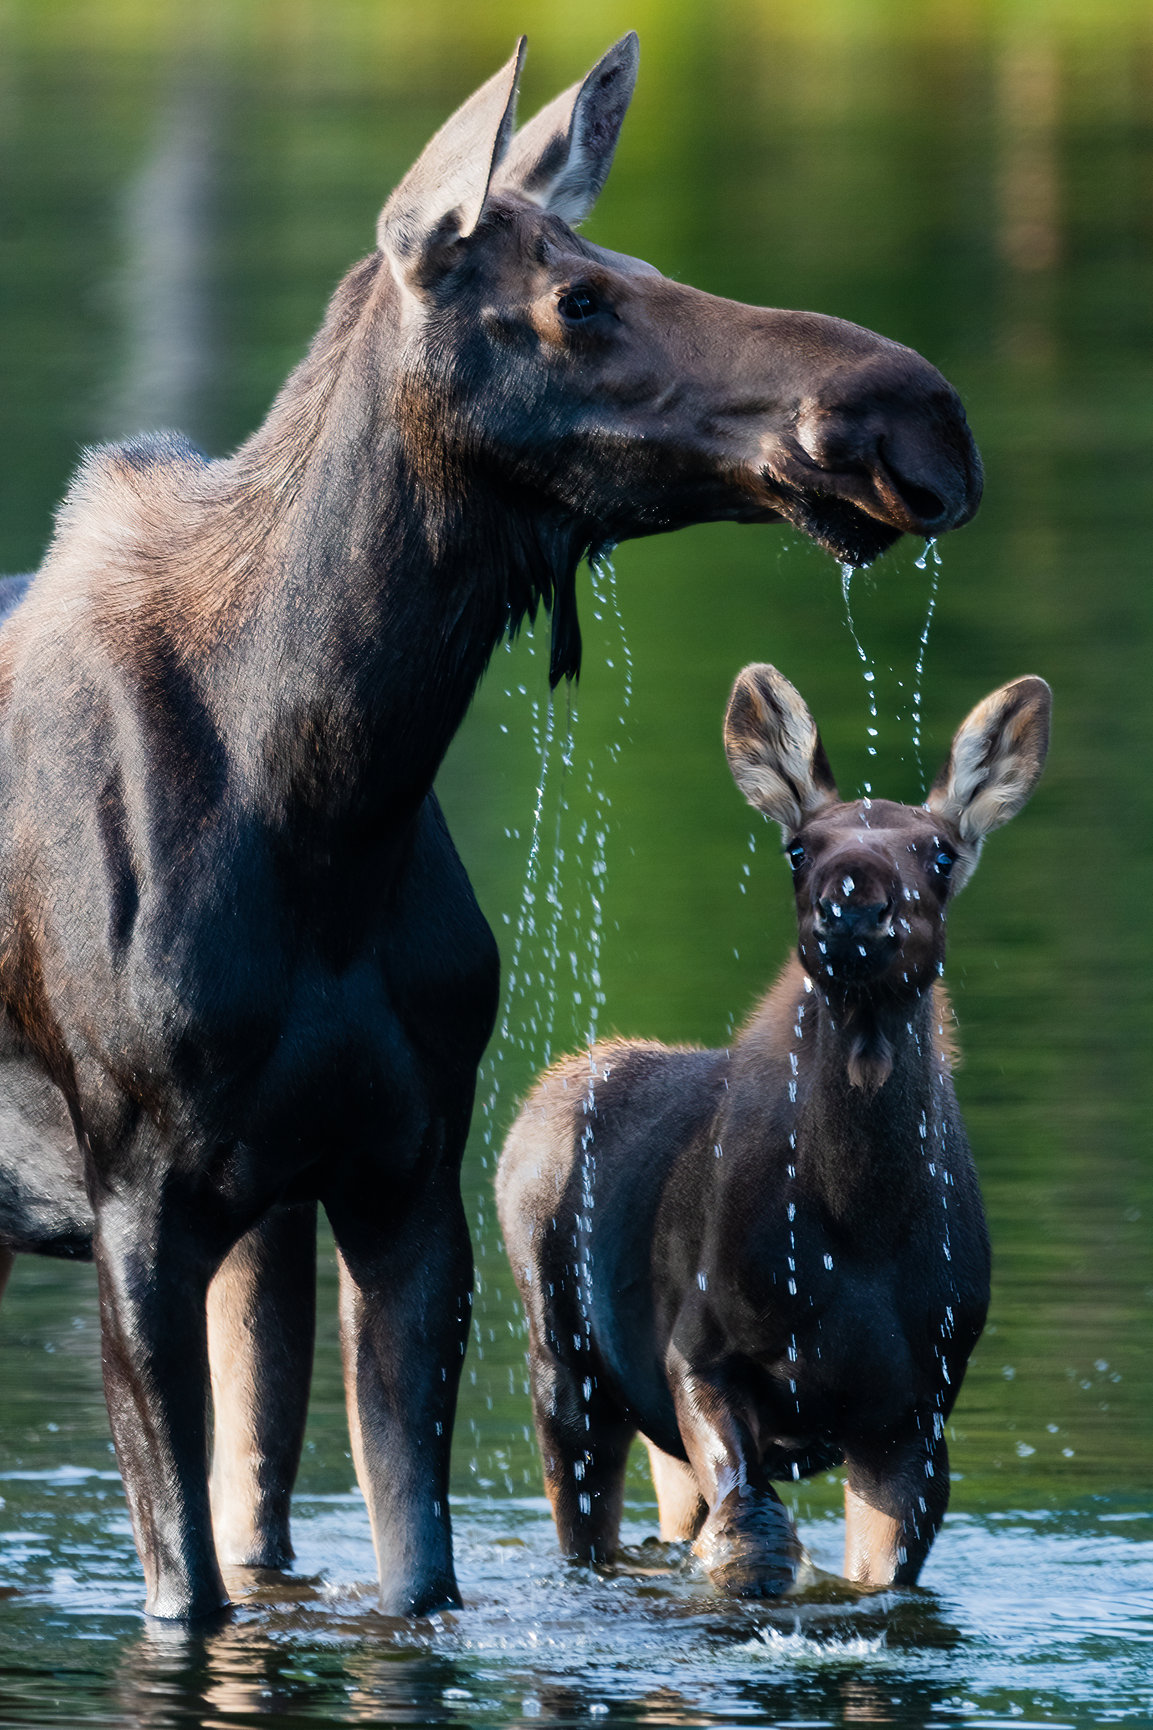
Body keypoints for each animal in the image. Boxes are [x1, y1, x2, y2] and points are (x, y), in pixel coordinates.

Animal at [0, 34, 983, 1623]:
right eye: (577, 298)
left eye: (629, 259)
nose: (914, 412)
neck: (326, 802)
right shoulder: (136, 1200)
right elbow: (185, 1582)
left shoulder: (403, 1177)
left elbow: (411, 1569)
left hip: (263, 1218)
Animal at [498, 664, 1050, 1595]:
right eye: (800, 847)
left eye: (938, 851)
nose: (853, 905)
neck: (861, 1223)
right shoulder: (698, 1355)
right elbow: (751, 1540)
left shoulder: (915, 1411)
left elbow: (878, 1574)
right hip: (563, 1365)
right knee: (586, 1523)